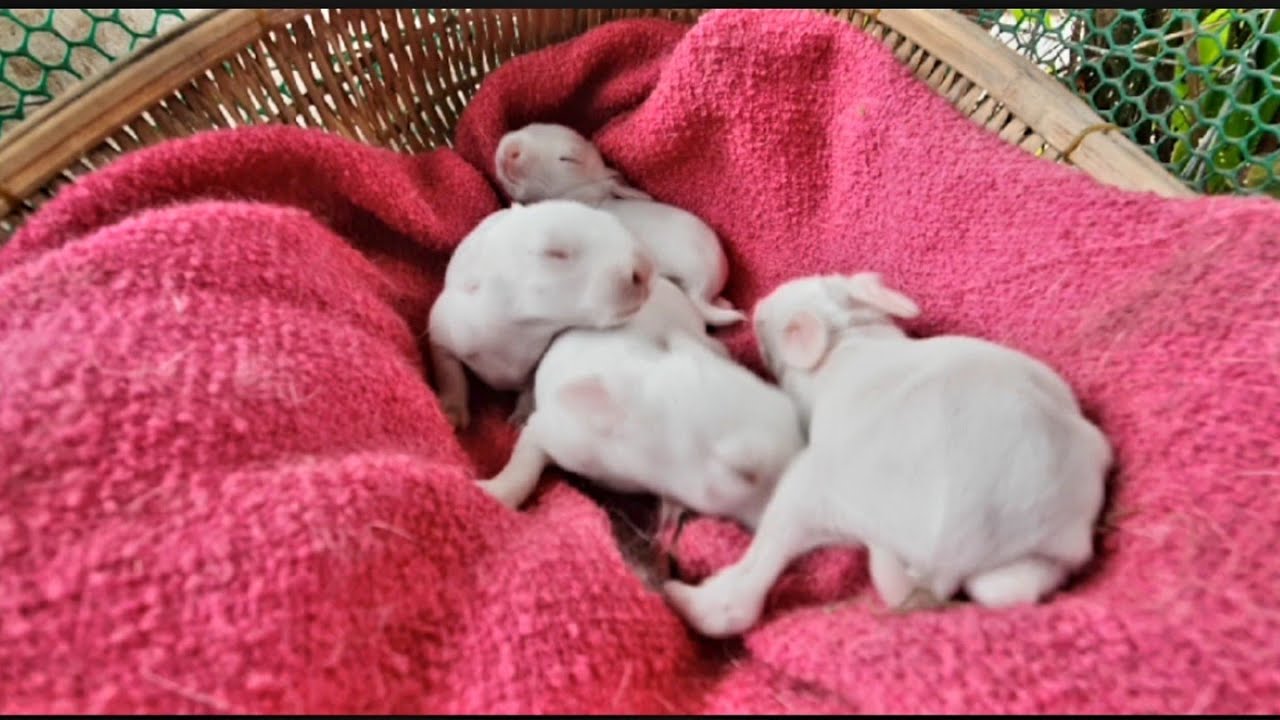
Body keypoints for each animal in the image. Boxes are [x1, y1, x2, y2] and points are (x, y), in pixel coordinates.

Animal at [427, 199, 656, 430]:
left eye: (615, 225)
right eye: (555, 253)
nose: (646, 270)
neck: (523, 328)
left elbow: (532, 384)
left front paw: (522, 416)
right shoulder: (450, 323)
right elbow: (447, 365)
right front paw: (452, 410)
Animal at [662, 272, 1113, 638]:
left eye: (762, 326)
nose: (757, 306)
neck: (848, 339)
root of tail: (948, 557)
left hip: (810, 492)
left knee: (748, 586)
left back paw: (687, 599)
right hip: (1049, 548)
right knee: (1006, 588)